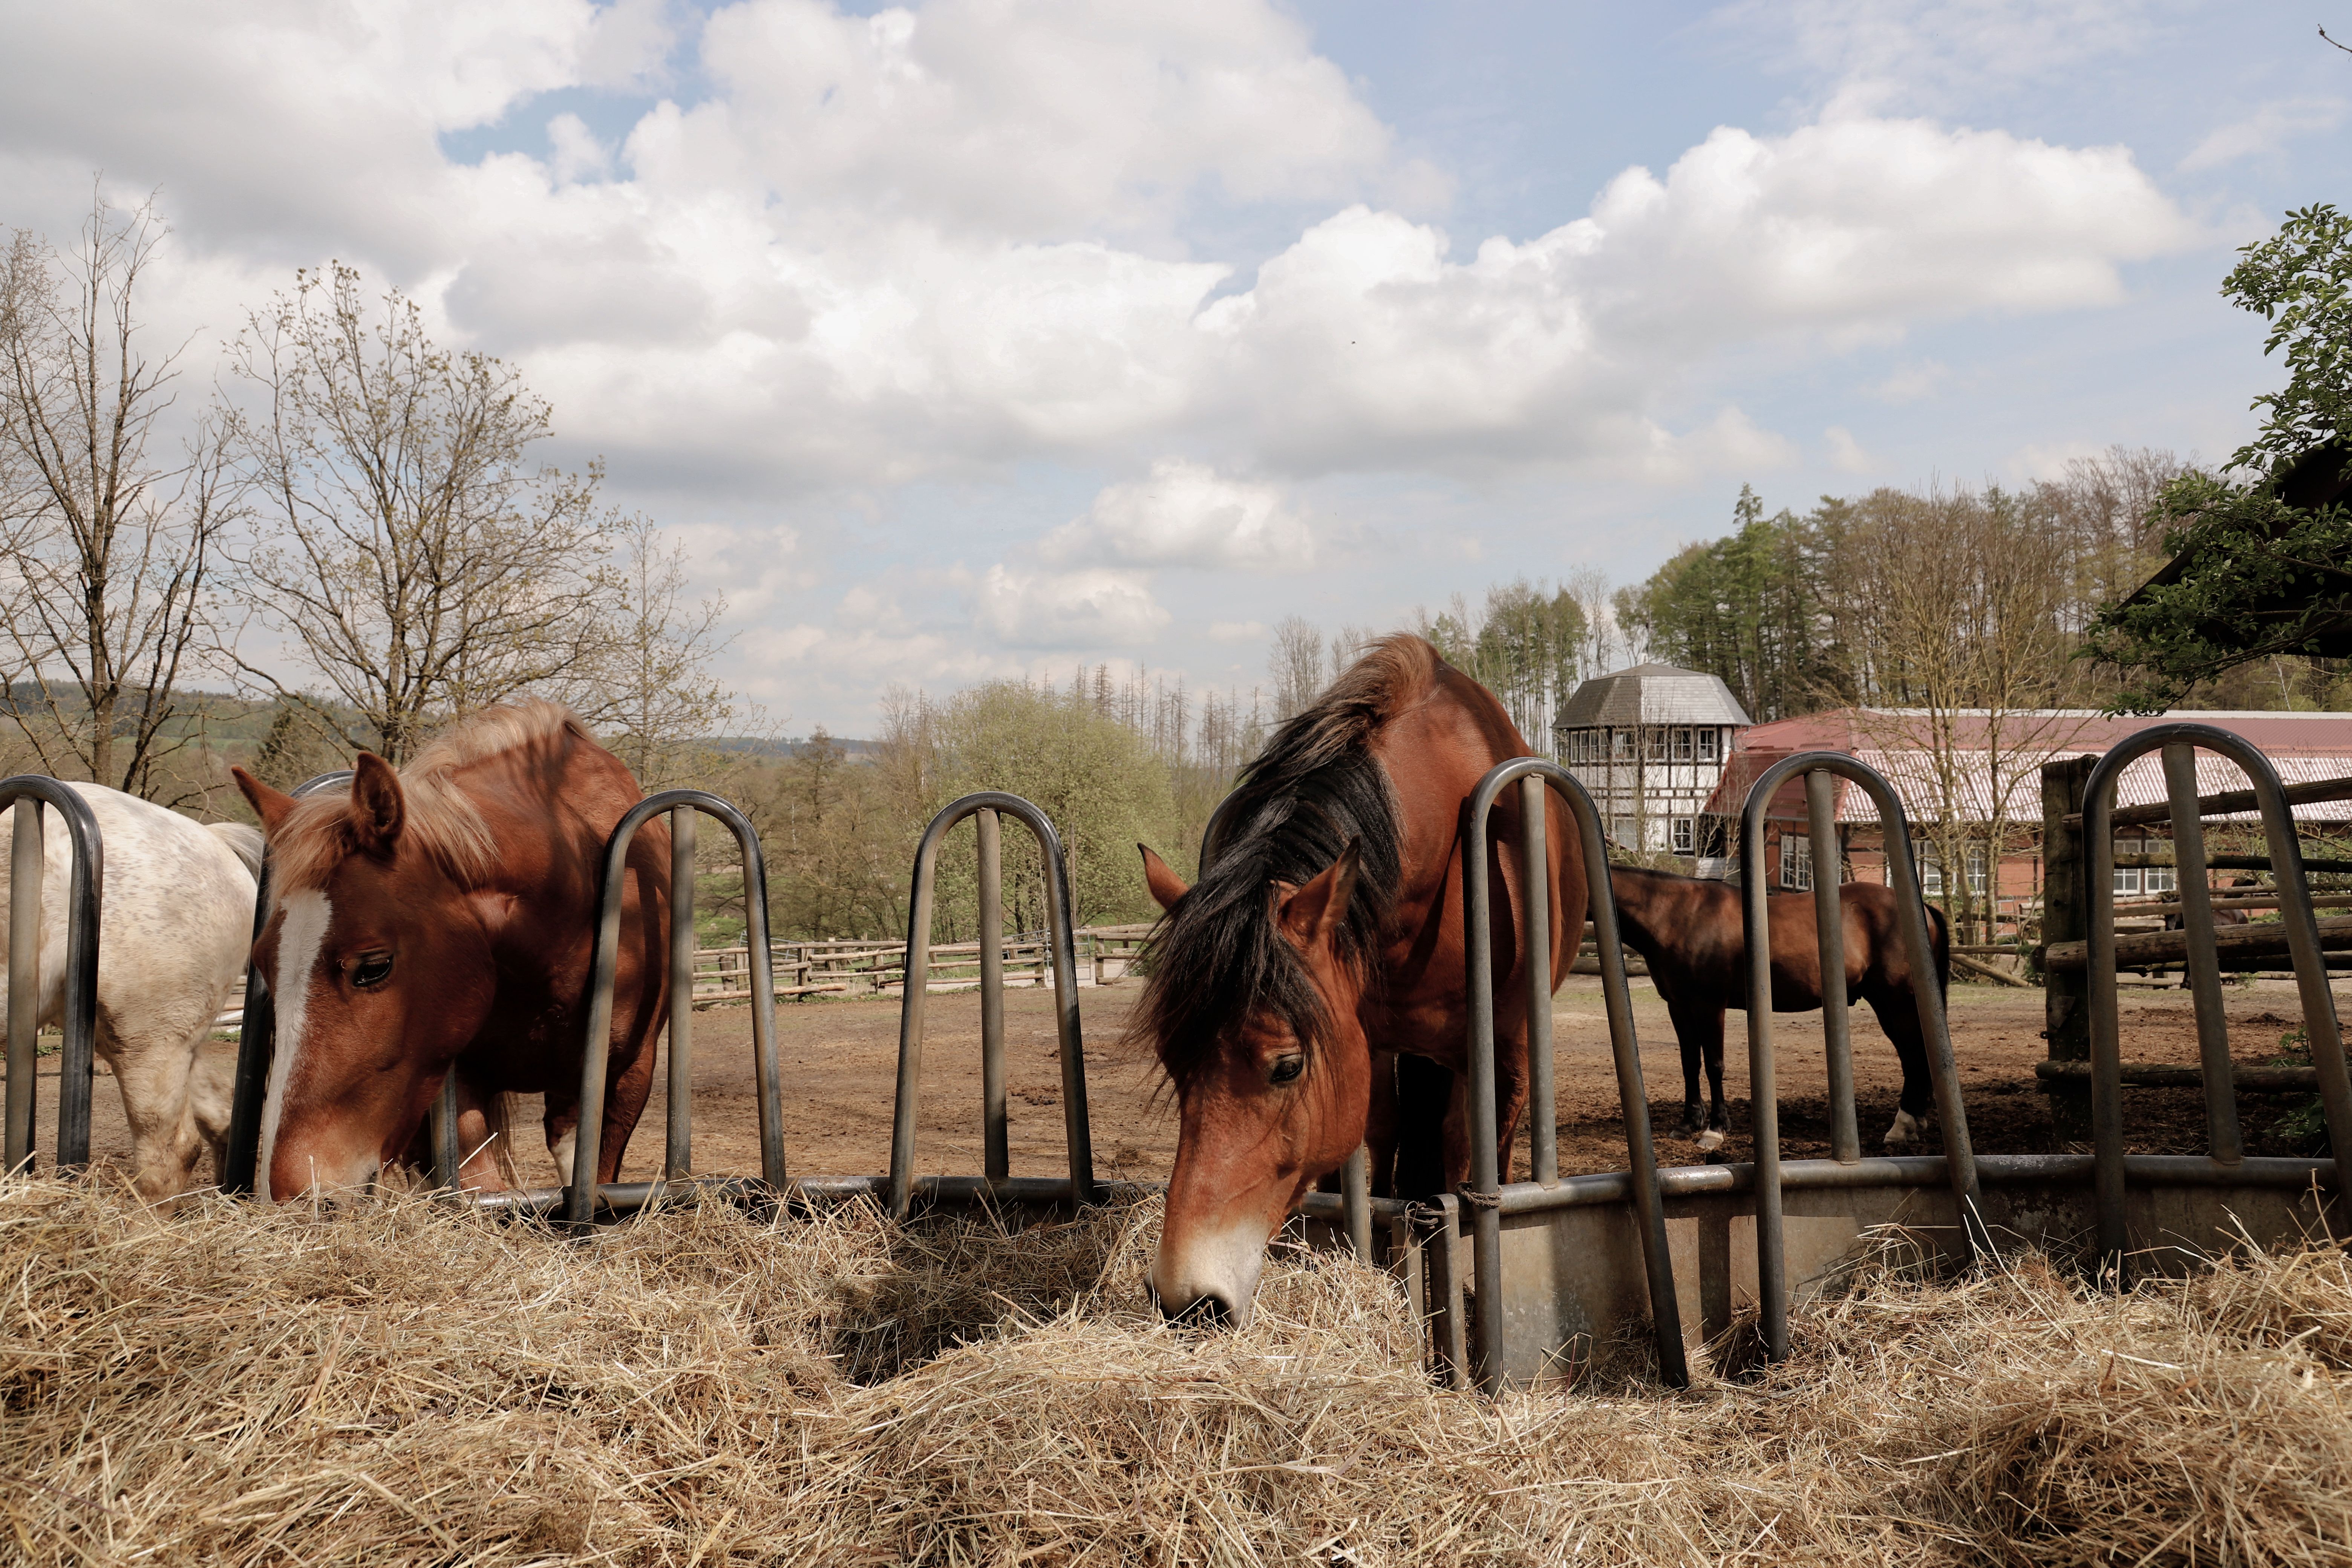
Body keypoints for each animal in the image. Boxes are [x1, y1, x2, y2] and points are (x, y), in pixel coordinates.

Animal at [230, 701, 670, 1202]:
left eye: (375, 966)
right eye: (264, 962)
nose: (289, 1189)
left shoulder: (625, 1076)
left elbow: (592, 1176)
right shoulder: (460, 1076)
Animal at [1131, 635, 1579, 1324]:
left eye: (1287, 1067)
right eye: (1172, 1062)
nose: (1187, 1299)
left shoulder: (1498, 1055)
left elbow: (1470, 1161)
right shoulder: (1360, 1044)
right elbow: (1365, 1161)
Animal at [1606, 864, 1950, 1153]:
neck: (1678, 914)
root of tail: (1925, 911)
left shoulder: (1710, 1005)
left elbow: (1715, 1066)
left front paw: (1715, 1130)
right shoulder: (1679, 1006)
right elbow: (1690, 1064)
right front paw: (1688, 1123)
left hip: (1897, 1003)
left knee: (1914, 1057)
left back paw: (1901, 1127)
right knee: (1916, 1057)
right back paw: (1914, 1122)